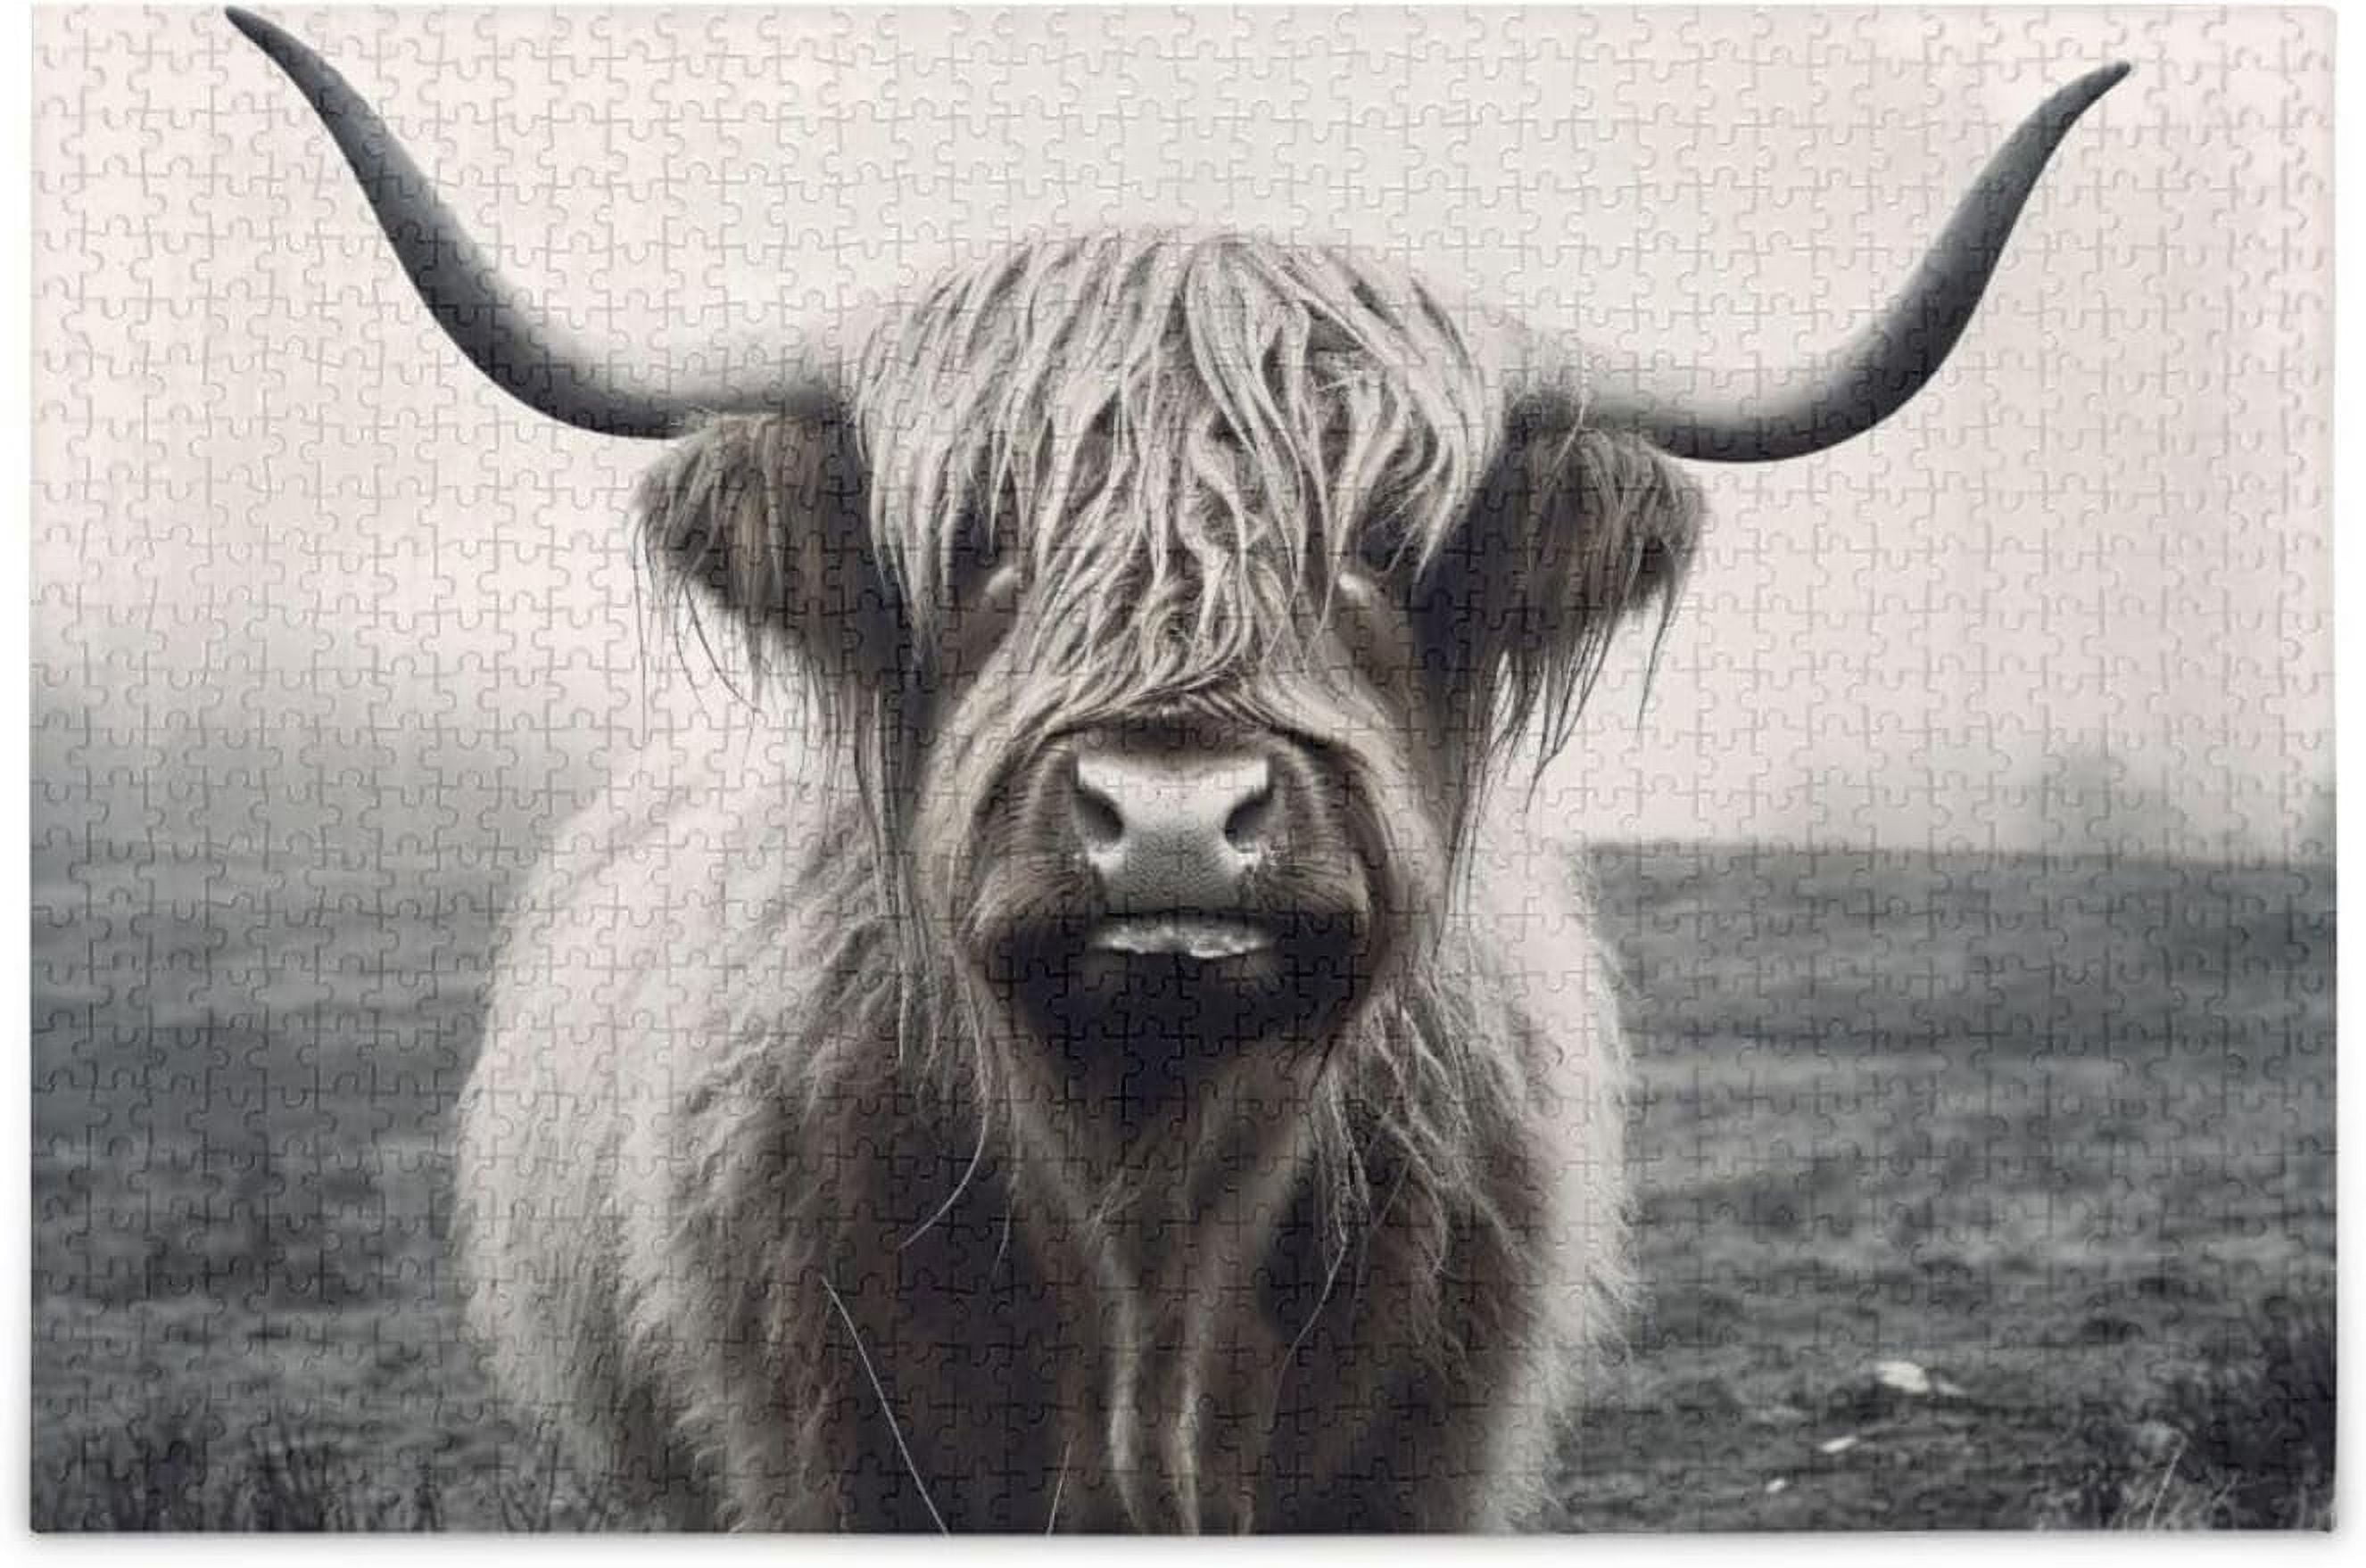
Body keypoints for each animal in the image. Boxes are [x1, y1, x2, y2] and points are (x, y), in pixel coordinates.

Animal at [231, 8, 2125, 1532]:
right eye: (982, 539)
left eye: (1381, 545)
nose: (1168, 822)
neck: (1150, 1245)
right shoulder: (824, 1451)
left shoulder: (1413, 1464)